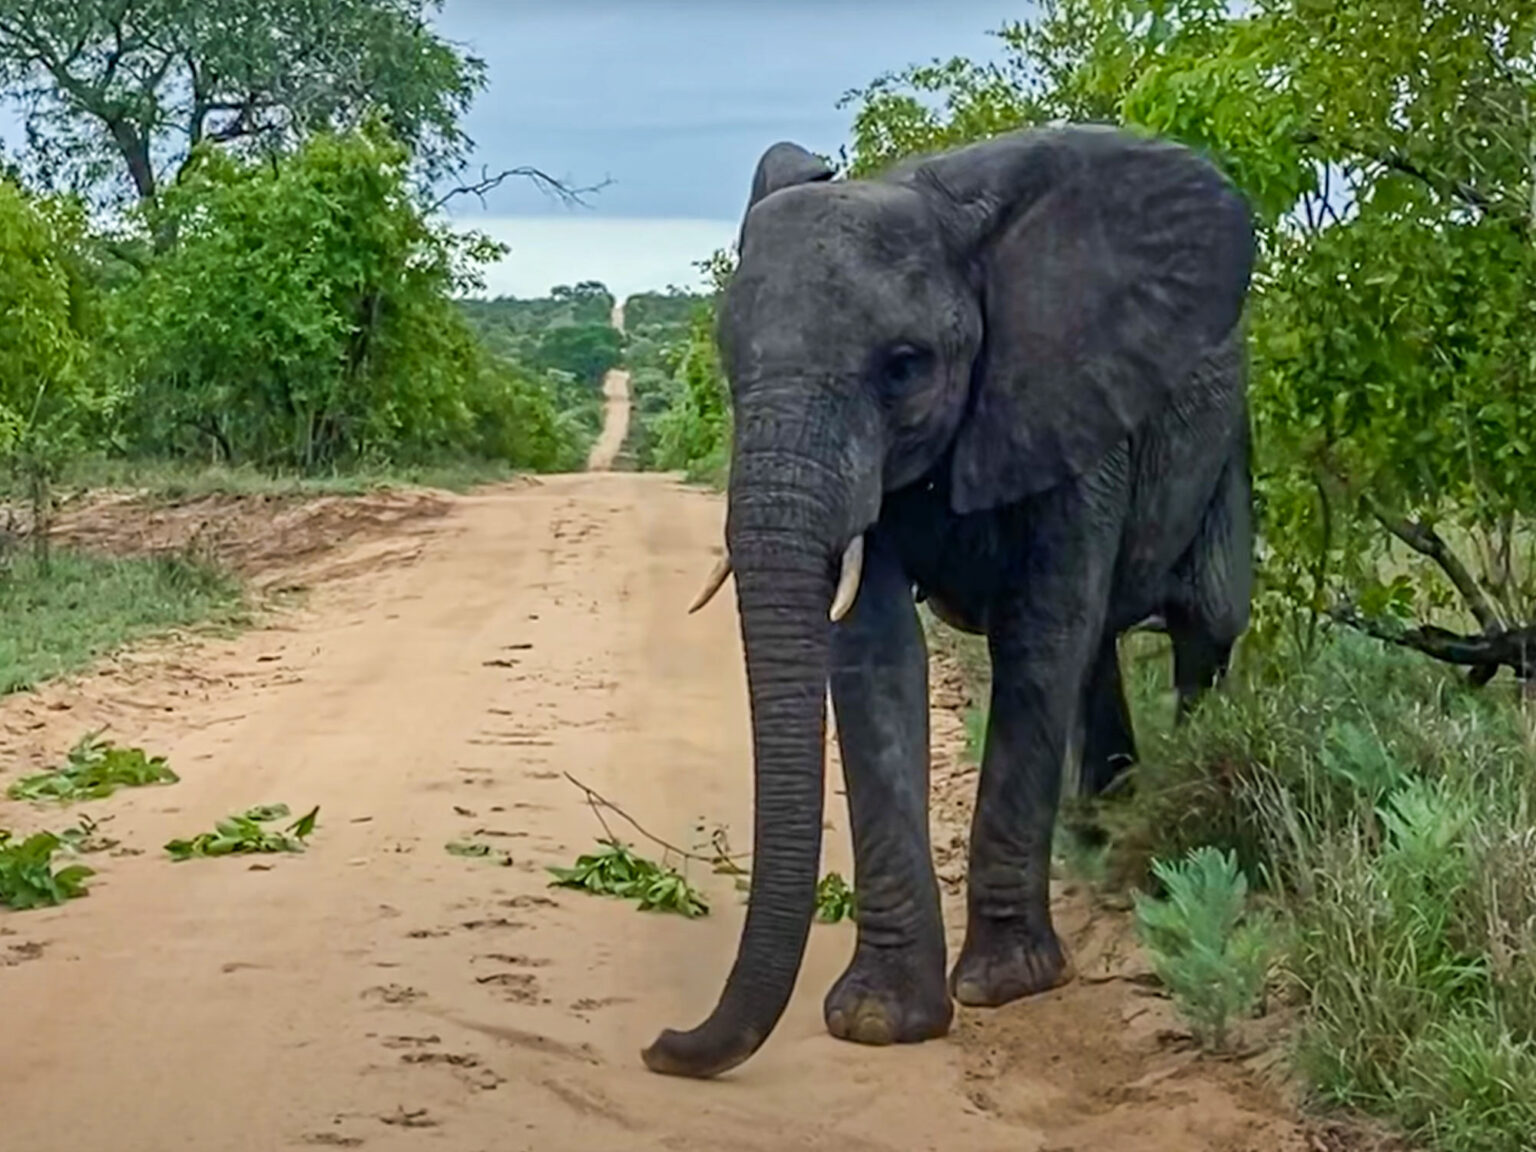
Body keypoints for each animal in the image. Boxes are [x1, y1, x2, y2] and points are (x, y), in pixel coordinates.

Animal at [642, 123, 1257, 1080]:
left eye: (904, 368)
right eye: (729, 365)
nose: (665, 1046)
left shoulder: (1072, 394)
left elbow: (1041, 636)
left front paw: (1006, 986)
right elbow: (875, 655)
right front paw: (881, 1020)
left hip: (1229, 444)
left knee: (1204, 622)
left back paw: (1170, 815)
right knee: (1103, 649)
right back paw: (1098, 825)